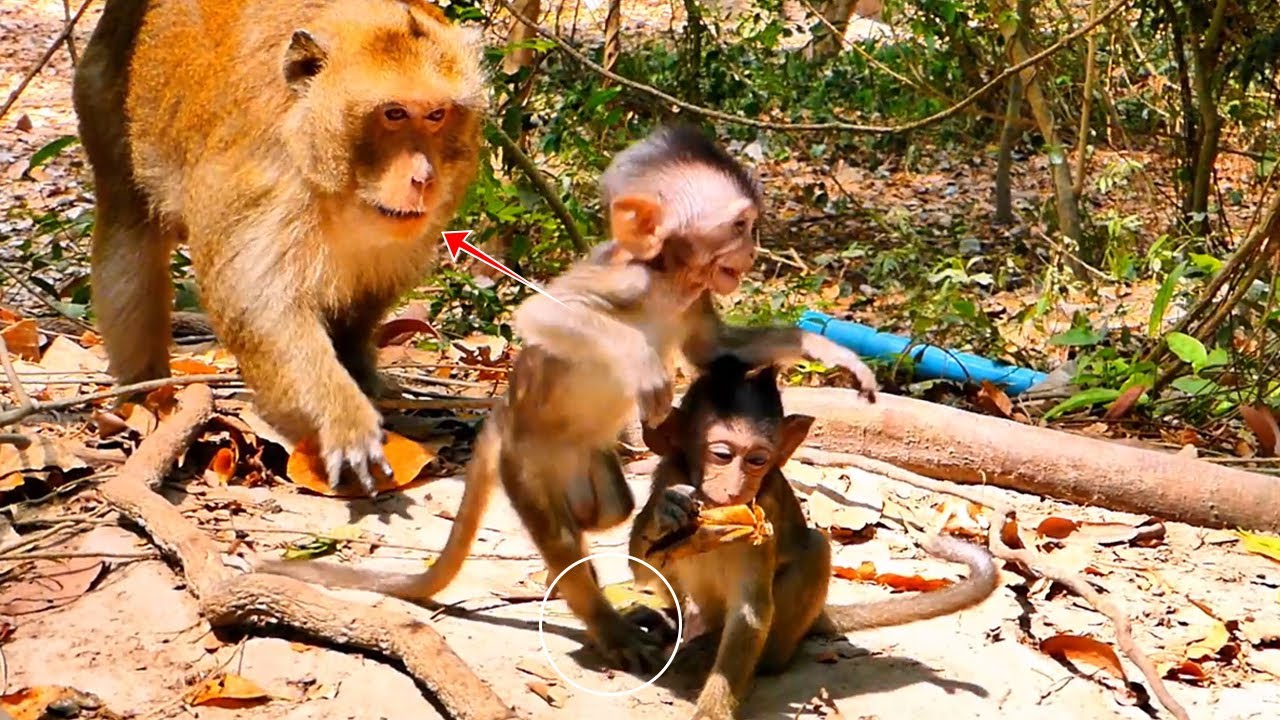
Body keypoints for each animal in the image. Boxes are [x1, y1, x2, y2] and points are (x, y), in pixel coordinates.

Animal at [72, 0, 488, 496]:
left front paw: (361, 377)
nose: (423, 178)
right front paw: (341, 416)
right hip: (103, 100)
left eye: (437, 115)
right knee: (130, 238)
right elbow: (255, 302)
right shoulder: (263, 176)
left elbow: (365, 298)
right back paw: (145, 392)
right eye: (394, 114)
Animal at [255, 123, 880, 672]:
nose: (754, 250)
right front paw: (642, 366)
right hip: (526, 466)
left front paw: (826, 347)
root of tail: (503, 413)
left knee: (610, 508)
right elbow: (539, 315)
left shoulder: (696, 297)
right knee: (560, 538)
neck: (668, 280)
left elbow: (715, 351)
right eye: (741, 224)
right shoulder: (624, 280)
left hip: (584, 465)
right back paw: (611, 629)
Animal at [628, 355, 999, 720]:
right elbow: (641, 567)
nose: (736, 489)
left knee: (816, 549)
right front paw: (666, 515)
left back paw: (715, 651)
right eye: (722, 456)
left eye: (757, 460)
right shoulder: (668, 474)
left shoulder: (763, 511)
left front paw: (712, 712)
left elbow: (751, 613)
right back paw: (672, 623)